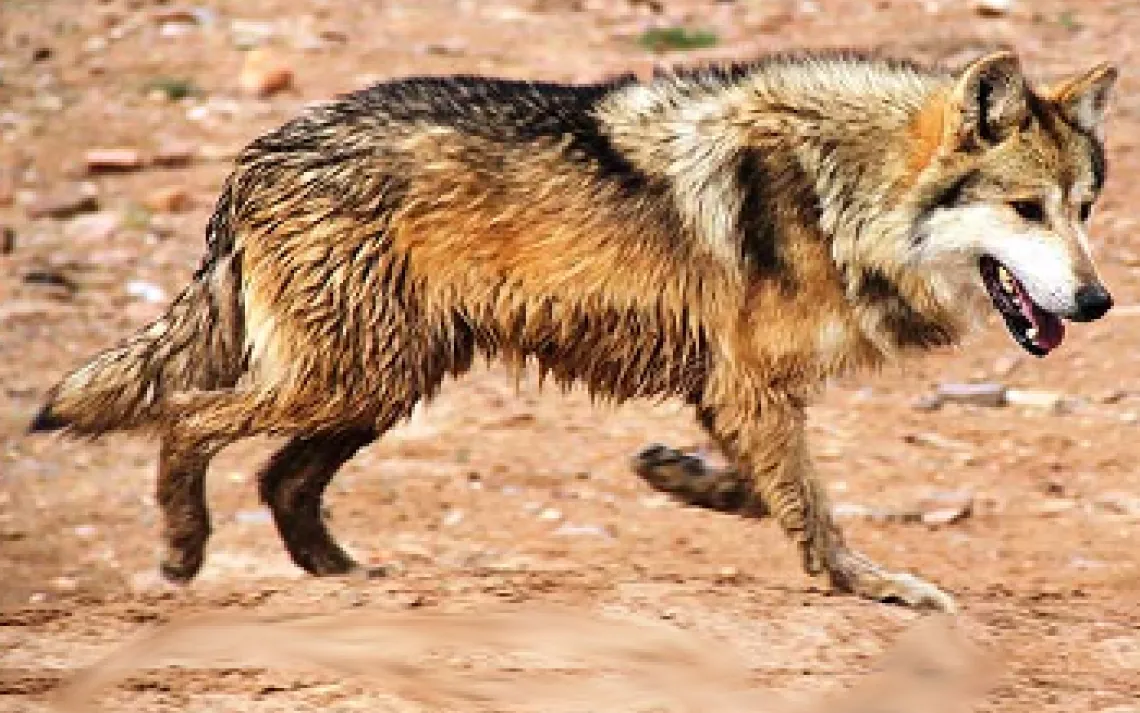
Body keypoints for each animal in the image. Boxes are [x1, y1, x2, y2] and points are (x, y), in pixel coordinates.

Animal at [30, 50, 1116, 611]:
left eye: (1084, 208)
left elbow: (771, 490)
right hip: (351, 377)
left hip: (382, 382)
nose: (1098, 302)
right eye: (1026, 209)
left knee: (279, 475)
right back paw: (183, 550)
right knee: (190, 417)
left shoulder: (733, 391)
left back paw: (344, 577)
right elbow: (812, 507)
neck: (843, 191)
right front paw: (870, 585)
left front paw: (676, 476)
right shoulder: (746, 385)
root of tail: (254, 159)